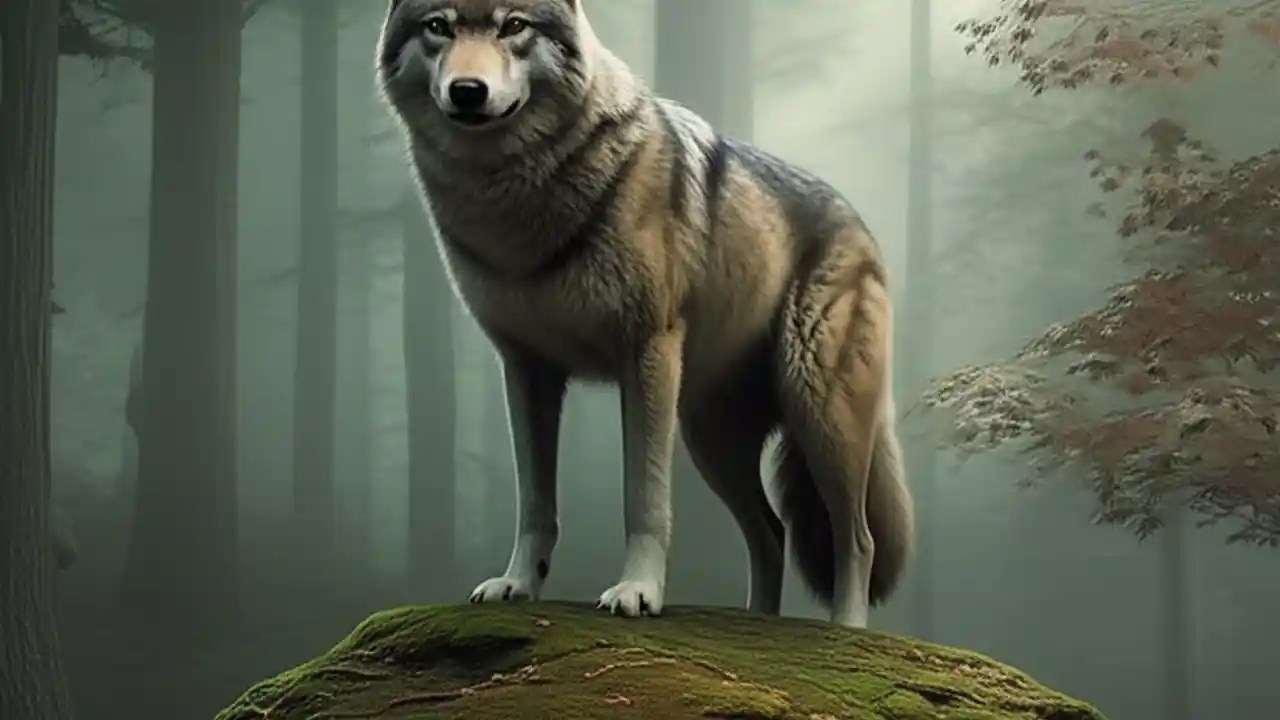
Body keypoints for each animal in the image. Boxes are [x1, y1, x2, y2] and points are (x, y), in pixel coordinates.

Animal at [376, 0, 914, 628]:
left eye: (515, 26)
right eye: (439, 26)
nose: (467, 91)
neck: (520, 203)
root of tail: (861, 225)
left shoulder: (647, 356)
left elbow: (644, 498)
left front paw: (637, 590)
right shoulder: (526, 369)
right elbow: (535, 500)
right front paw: (518, 583)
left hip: (819, 415)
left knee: (857, 538)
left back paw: (846, 632)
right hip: (714, 442)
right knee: (771, 533)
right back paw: (757, 621)